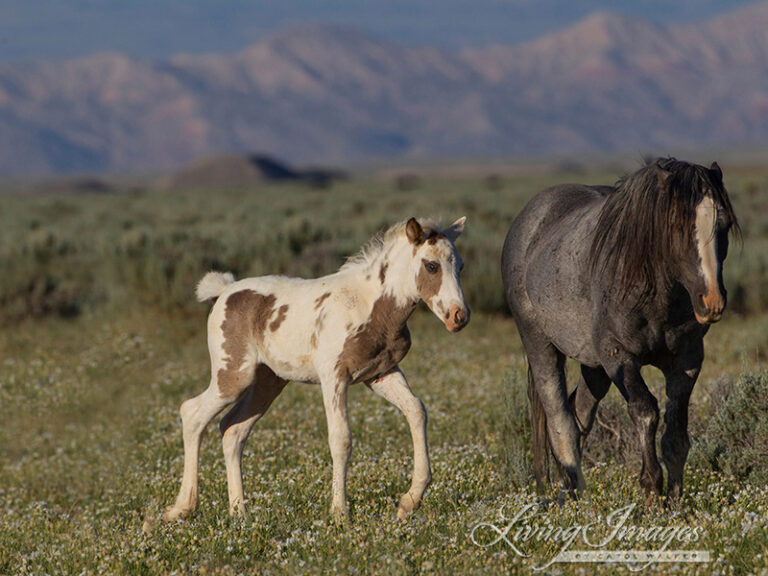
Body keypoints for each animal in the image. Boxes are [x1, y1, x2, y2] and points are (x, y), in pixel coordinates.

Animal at [160, 217, 470, 524]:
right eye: (431, 265)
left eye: (460, 266)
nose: (459, 316)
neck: (369, 305)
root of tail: (224, 292)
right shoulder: (334, 376)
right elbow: (341, 439)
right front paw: (340, 514)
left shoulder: (381, 374)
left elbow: (416, 410)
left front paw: (409, 502)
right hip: (234, 375)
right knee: (192, 413)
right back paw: (181, 508)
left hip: (268, 382)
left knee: (233, 430)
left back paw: (239, 514)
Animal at [501, 158, 739, 503]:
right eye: (678, 227)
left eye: (723, 225)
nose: (712, 301)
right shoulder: (619, 357)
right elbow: (646, 411)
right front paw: (651, 490)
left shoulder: (687, 361)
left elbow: (676, 436)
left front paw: (675, 502)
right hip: (541, 346)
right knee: (561, 422)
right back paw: (576, 500)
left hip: (594, 367)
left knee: (579, 414)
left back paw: (570, 490)